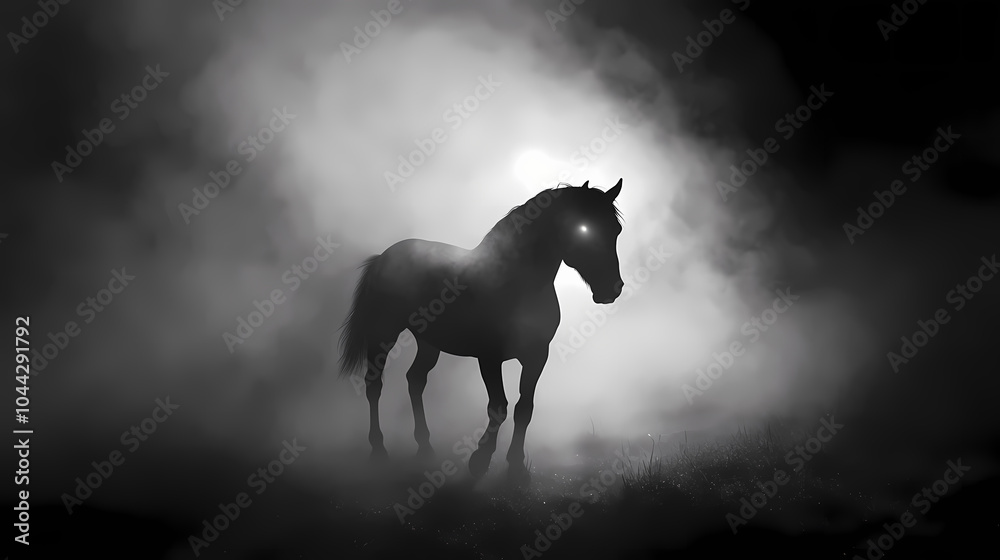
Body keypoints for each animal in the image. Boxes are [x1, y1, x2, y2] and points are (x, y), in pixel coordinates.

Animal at [338, 179, 625, 483]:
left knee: (415, 380)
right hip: (383, 334)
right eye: (582, 230)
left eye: (615, 230)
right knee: (374, 384)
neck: (516, 282)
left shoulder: (537, 356)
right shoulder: (489, 358)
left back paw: (425, 448)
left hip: (429, 342)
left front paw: (516, 466)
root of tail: (384, 256)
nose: (612, 289)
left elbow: (524, 408)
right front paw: (480, 460)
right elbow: (498, 407)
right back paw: (379, 451)